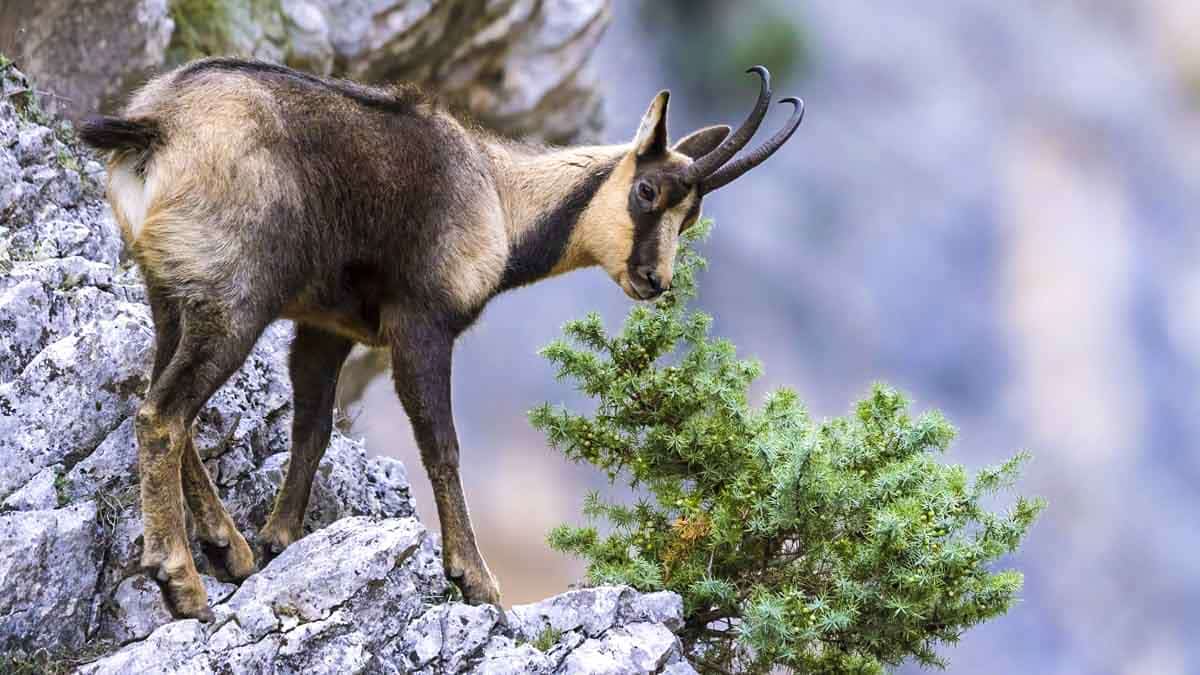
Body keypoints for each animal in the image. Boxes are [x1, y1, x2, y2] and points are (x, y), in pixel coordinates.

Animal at [78, 58, 804, 620]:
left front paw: (280, 538)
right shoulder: (420, 325)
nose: (654, 281)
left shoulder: (324, 328)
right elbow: (443, 448)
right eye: (648, 190)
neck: (498, 195)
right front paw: (476, 579)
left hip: (172, 295)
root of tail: (157, 124)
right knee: (162, 415)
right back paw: (182, 582)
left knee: (165, 404)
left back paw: (228, 548)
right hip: (234, 303)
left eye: (693, 214)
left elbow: (312, 428)